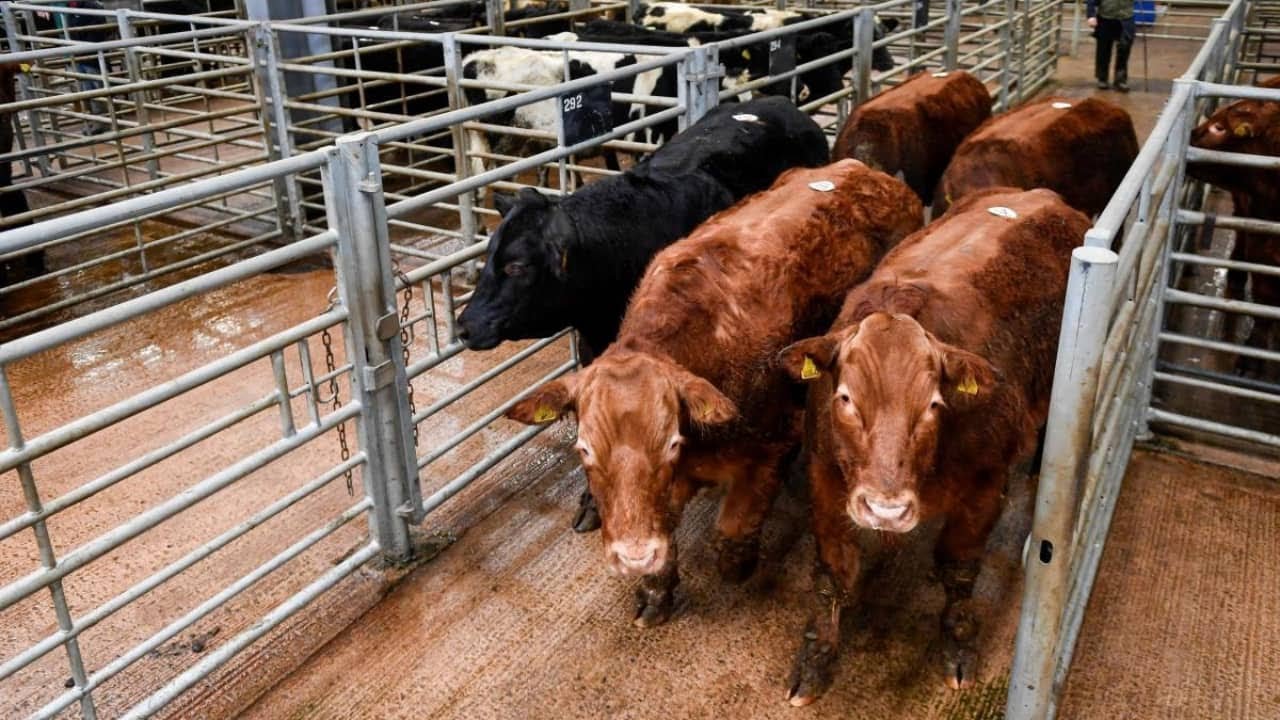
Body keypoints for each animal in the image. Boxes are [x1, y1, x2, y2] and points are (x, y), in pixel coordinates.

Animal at [505, 160, 923, 628]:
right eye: (584, 450)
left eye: (670, 443)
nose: (633, 557)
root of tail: (871, 174)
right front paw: (655, 589)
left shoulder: (776, 440)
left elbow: (732, 531)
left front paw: (737, 562)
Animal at [777, 187, 1089, 704]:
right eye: (845, 397)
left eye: (933, 404)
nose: (885, 510)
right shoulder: (824, 479)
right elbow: (831, 576)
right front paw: (814, 660)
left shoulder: (985, 486)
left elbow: (959, 571)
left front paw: (958, 647)